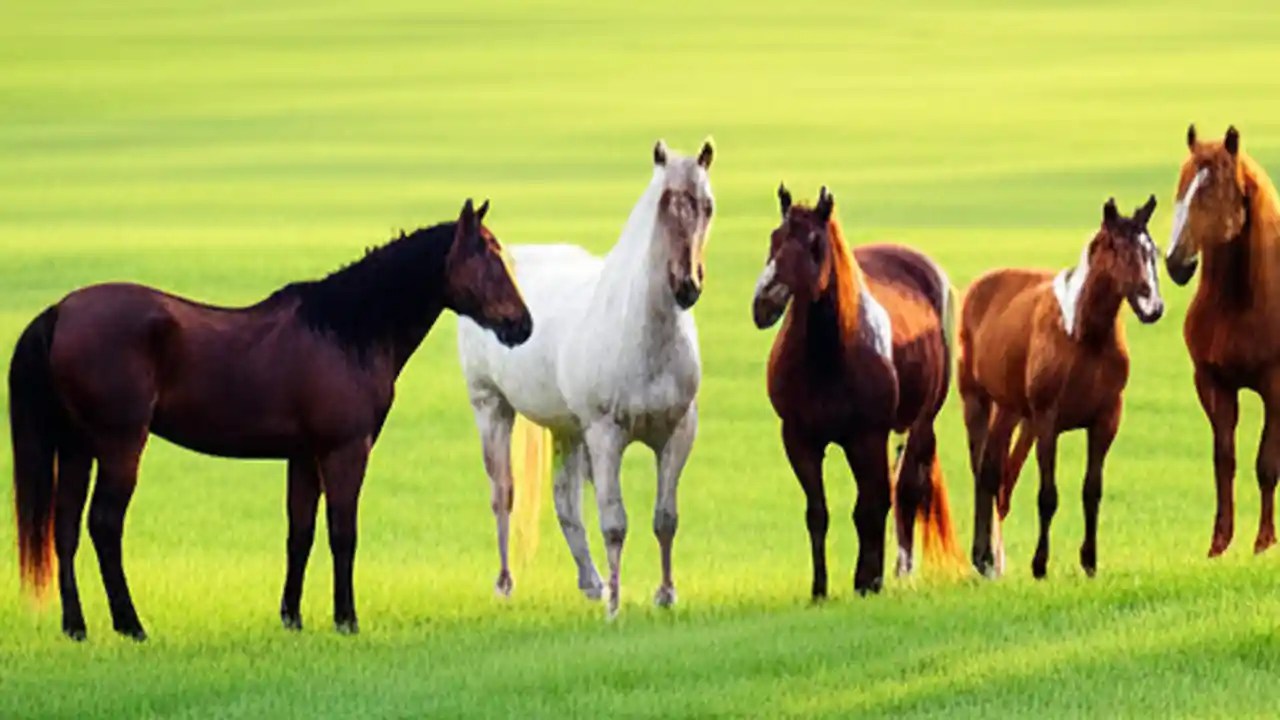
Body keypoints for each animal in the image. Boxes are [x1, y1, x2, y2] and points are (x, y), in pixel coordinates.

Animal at [9, 199, 531, 641]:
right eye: (488, 257)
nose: (522, 325)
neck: (346, 331)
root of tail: (61, 311)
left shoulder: (303, 457)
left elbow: (299, 535)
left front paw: (292, 618)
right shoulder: (344, 452)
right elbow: (343, 534)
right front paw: (346, 619)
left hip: (76, 448)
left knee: (65, 528)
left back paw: (76, 627)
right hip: (120, 445)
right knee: (103, 524)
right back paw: (130, 625)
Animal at [456, 140, 714, 617]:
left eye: (706, 205)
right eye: (664, 203)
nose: (686, 286)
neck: (644, 333)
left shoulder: (677, 433)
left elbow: (665, 519)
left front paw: (665, 594)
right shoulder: (606, 435)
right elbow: (614, 522)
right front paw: (615, 606)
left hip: (566, 431)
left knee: (566, 504)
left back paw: (591, 582)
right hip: (492, 409)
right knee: (503, 494)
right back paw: (506, 582)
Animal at [752, 185, 962, 598]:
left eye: (815, 243)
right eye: (774, 237)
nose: (764, 303)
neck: (827, 357)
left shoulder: (867, 437)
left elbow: (871, 505)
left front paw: (867, 581)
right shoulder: (799, 439)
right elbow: (817, 512)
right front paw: (820, 588)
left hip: (921, 422)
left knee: (907, 489)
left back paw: (902, 572)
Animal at [960, 196, 1163, 579]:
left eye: (1151, 251)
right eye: (1118, 248)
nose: (1153, 307)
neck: (1082, 335)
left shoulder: (1106, 420)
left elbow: (1092, 491)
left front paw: (1090, 562)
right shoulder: (1046, 421)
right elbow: (1047, 494)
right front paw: (1039, 565)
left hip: (1008, 410)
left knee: (993, 472)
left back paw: (989, 560)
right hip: (976, 401)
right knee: (981, 472)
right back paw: (982, 557)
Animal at [1166, 124, 1280, 557]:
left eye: (1213, 189)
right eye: (1182, 186)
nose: (1175, 263)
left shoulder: (1275, 387)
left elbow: (1267, 464)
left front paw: (1264, 542)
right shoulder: (1213, 383)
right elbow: (1224, 460)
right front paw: (1219, 543)